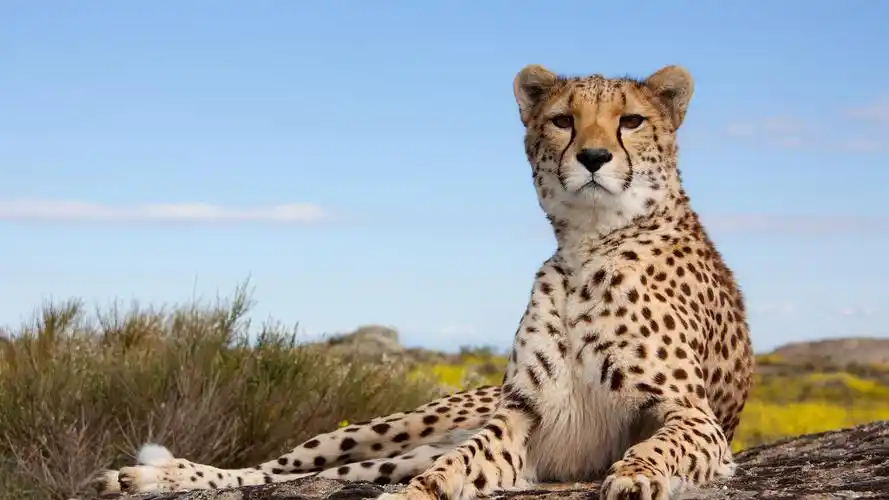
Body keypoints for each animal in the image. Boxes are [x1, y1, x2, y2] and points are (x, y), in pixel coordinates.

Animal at [96, 64, 754, 500]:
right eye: (563, 121)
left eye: (631, 121)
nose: (593, 158)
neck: (588, 244)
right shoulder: (521, 418)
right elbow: (460, 464)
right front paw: (424, 491)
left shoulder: (693, 416)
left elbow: (658, 445)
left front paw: (637, 475)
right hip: (394, 429)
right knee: (282, 468)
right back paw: (154, 474)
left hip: (392, 452)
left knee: (318, 475)